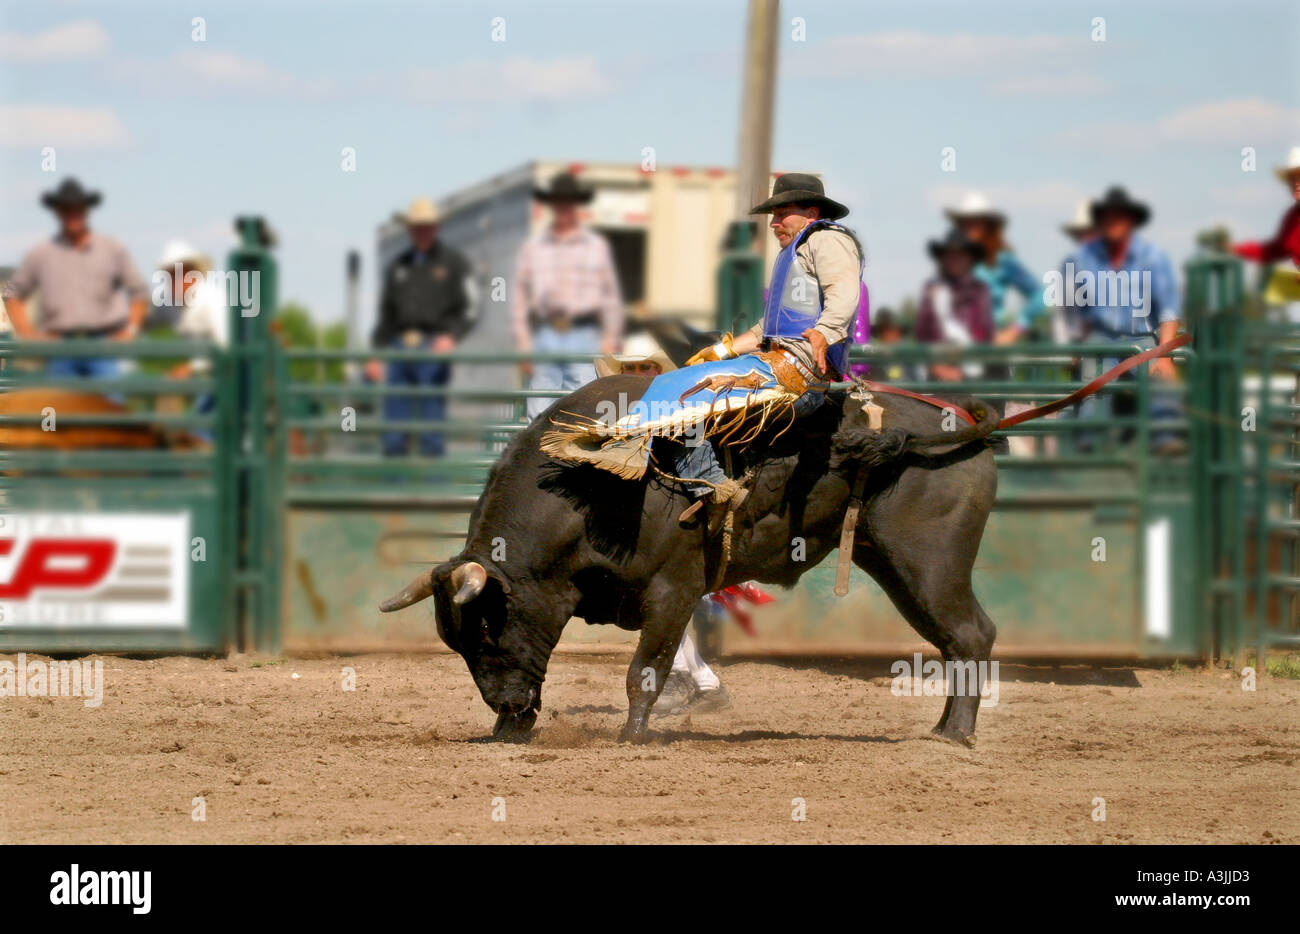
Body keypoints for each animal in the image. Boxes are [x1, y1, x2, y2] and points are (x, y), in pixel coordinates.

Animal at [380, 372, 1002, 747]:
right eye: (456, 643)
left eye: (488, 629)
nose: (506, 707)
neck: (598, 490)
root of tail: (961, 418)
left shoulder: (674, 589)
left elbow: (646, 669)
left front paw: (632, 736)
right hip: (895, 565)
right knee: (954, 640)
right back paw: (943, 726)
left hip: (929, 562)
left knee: (971, 633)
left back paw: (955, 734)